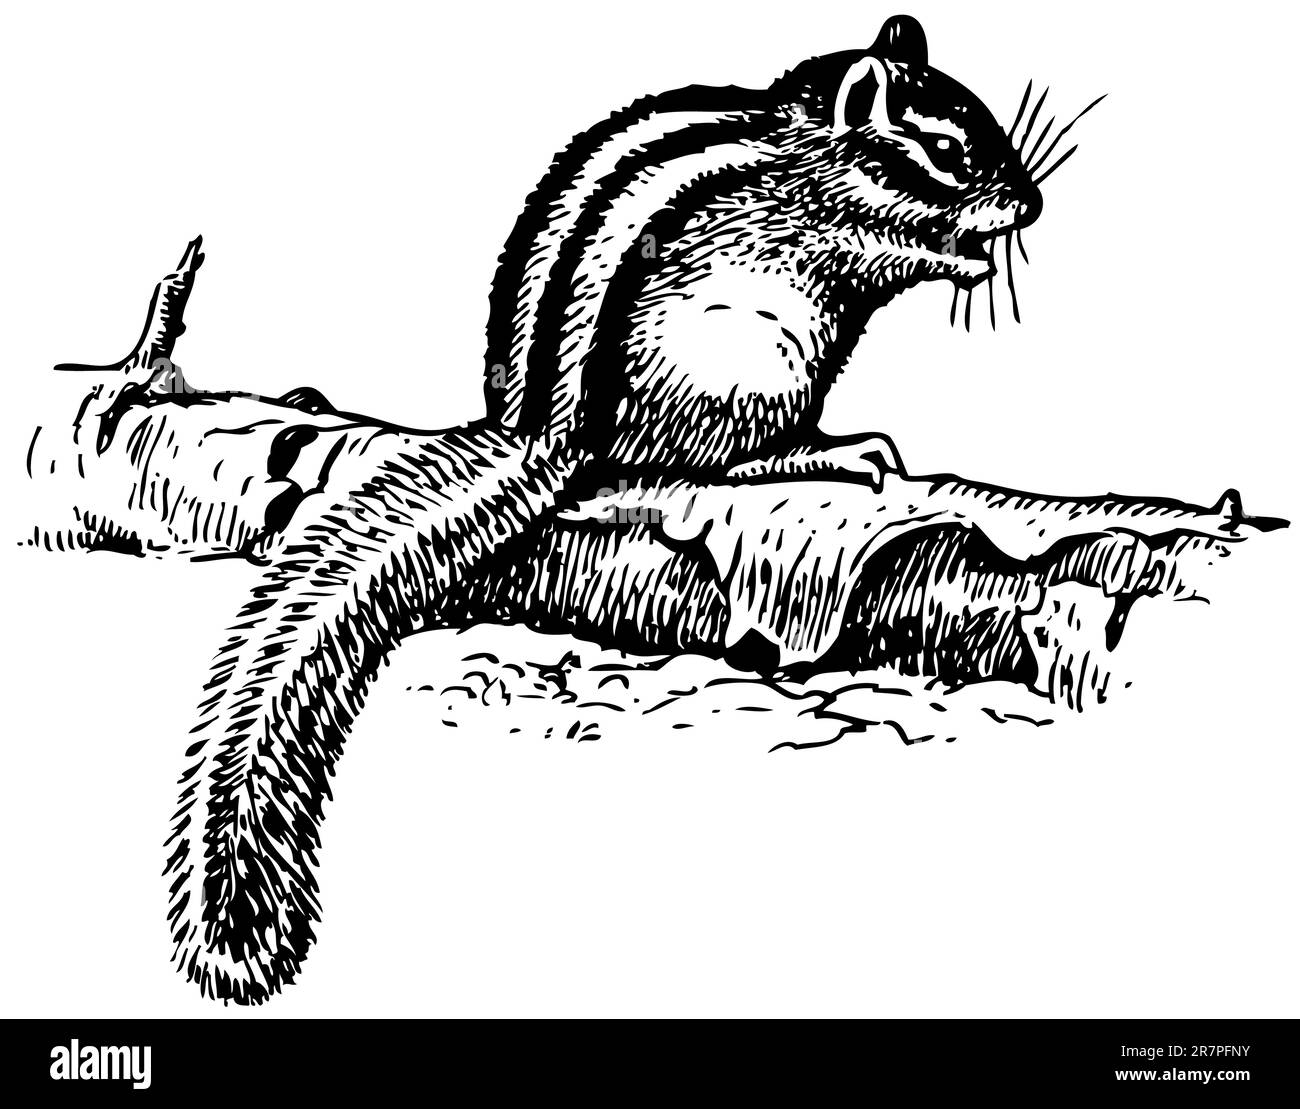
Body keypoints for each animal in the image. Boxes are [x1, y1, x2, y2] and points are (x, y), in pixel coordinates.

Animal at [165, 15, 1042, 1003]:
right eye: (948, 151)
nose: (1032, 205)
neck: (811, 145)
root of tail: (545, 435)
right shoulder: (849, 224)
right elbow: (901, 240)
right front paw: (965, 247)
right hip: (753, 370)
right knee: (716, 458)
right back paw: (829, 449)